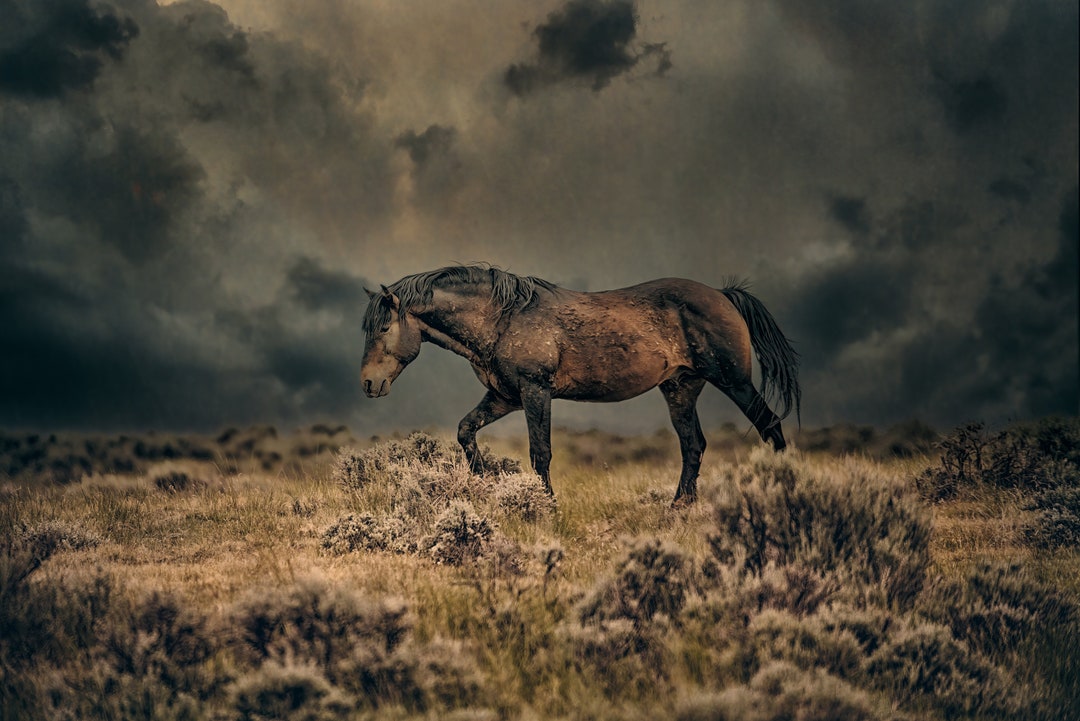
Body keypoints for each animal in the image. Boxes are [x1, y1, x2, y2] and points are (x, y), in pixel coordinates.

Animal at [360, 265, 799, 505]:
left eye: (382, 327)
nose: (367, 383)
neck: (502, 319)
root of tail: (724, 295)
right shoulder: (504, 397)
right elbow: (466, 430)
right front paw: (484, 480)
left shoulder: (535, 392)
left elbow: (541, 453)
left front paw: (546, 506)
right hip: (680, 389)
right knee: (693, 446)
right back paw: (679, 506)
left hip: (734, 381)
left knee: (770, 427)